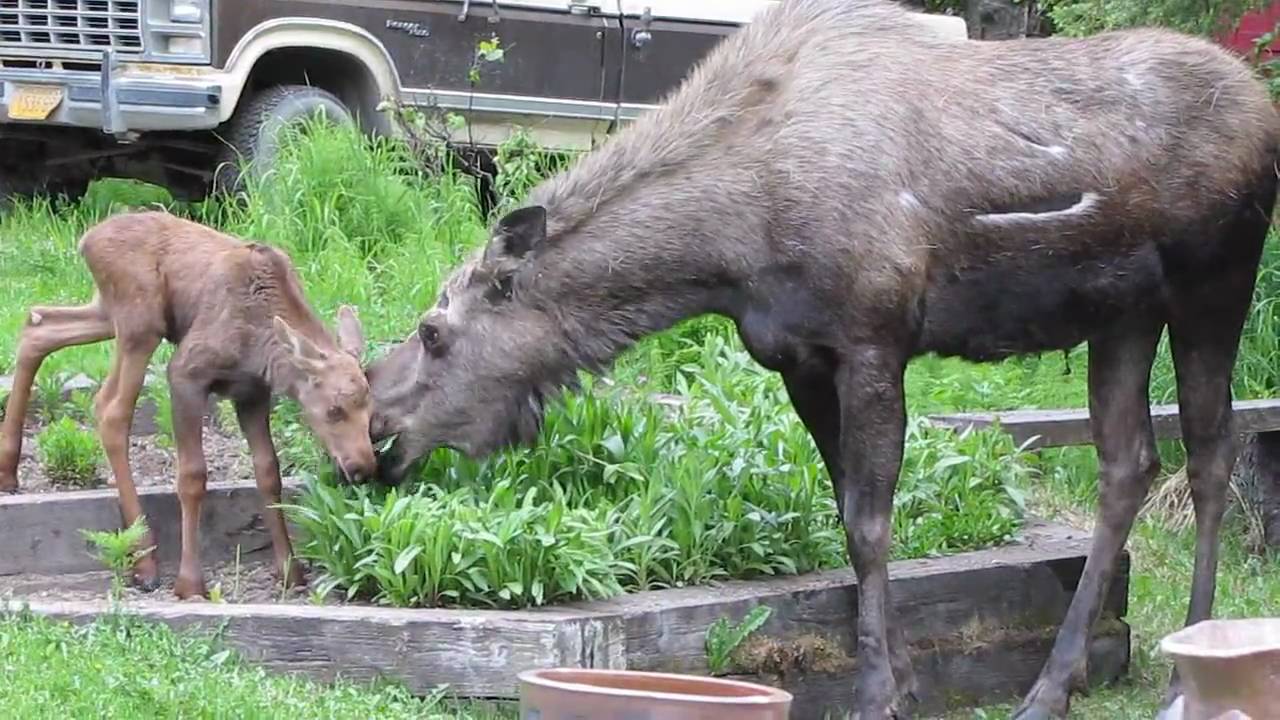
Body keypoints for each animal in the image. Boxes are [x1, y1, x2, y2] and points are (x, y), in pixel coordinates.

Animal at [0, 210, 377, 599]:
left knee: (38, 326)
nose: (363, 467)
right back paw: (144, 561)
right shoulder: (186, 374)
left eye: (370, 408)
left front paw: (290, 571)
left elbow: (268, 472)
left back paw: (8, 470)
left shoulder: (252, 393)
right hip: (141, 321)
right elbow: (193, 475)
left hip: (108, 312)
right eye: (333, 410)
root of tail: (86, 240)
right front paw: (189, 582)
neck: (261, 348)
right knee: (109, 408)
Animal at [360, 0, 1280, 717]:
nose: (374, 430)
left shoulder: (873, 339)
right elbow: (847, 513)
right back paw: (1054, 684)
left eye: (435, 332)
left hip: (1214, 283)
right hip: (1120, 315)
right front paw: (903, 678)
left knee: (1210, 453)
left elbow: (872, 522)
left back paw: (1187, 665)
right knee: (1129, 463)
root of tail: (1261, 108)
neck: (724, 245)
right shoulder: (796, 355)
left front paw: (877, 693)